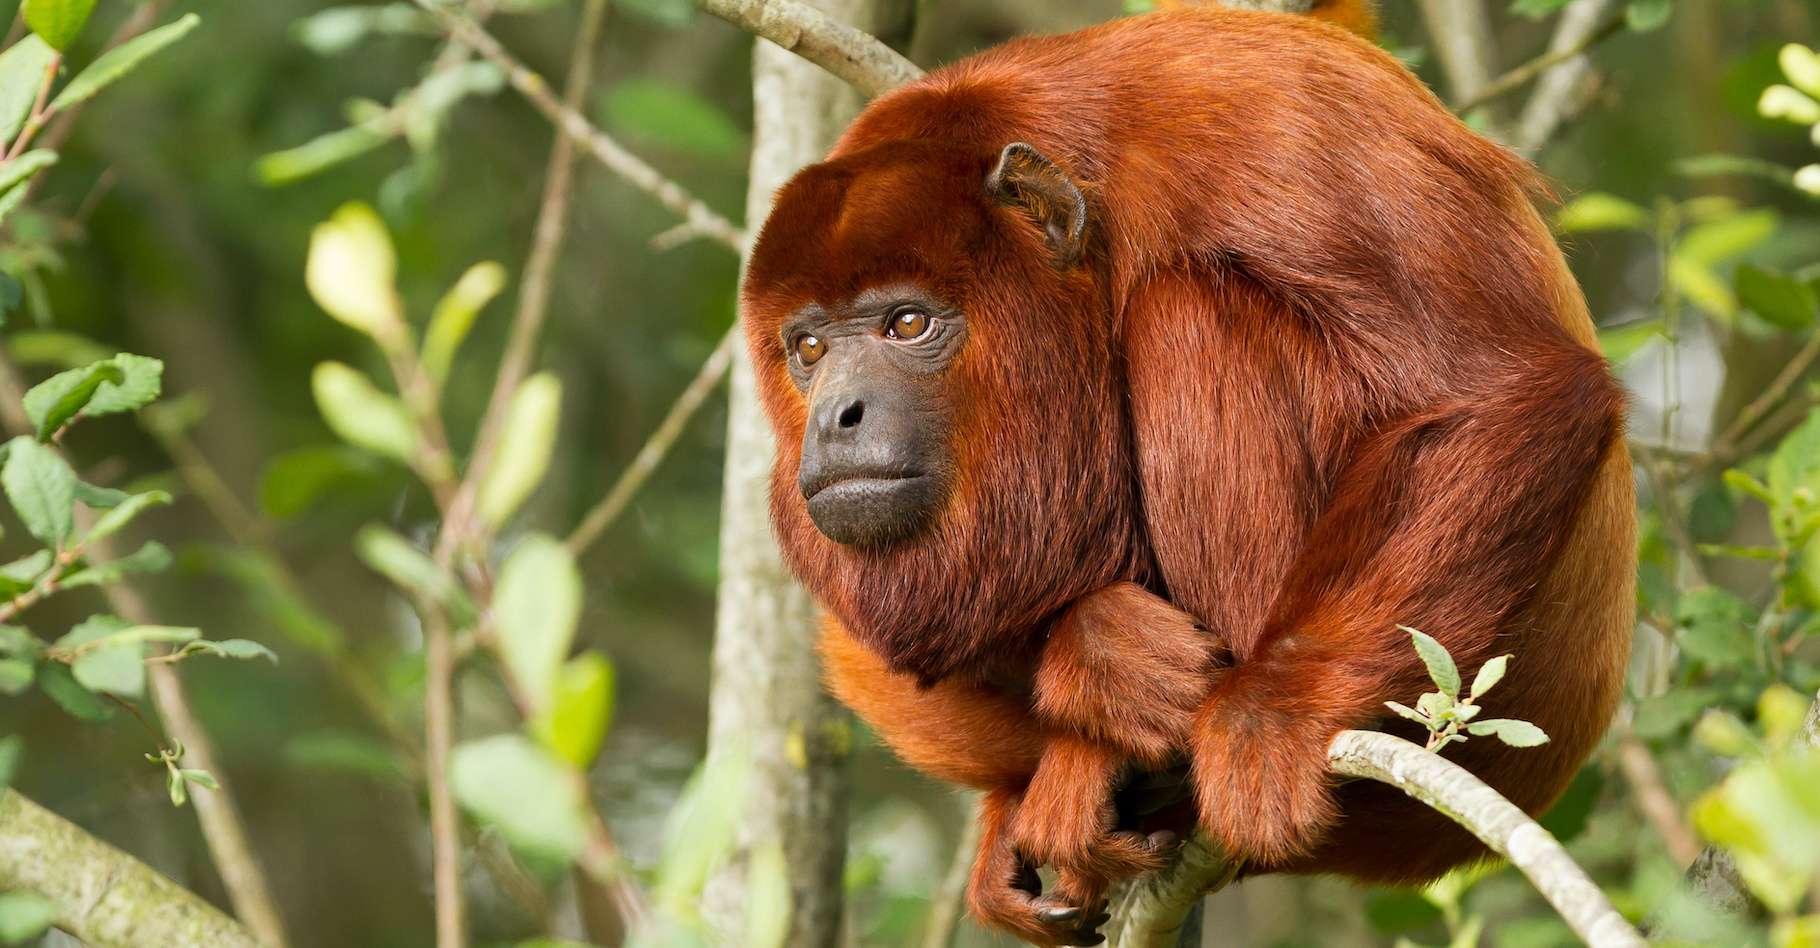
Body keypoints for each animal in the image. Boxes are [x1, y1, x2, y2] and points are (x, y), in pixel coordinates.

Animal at [739, 6, 1635, 946]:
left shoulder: (1279, 137)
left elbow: (1495, 392)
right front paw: (1098, 660)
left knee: (1190, 308)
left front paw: (1272, 715)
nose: (836, 418)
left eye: (908, 323)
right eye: (808, 347)